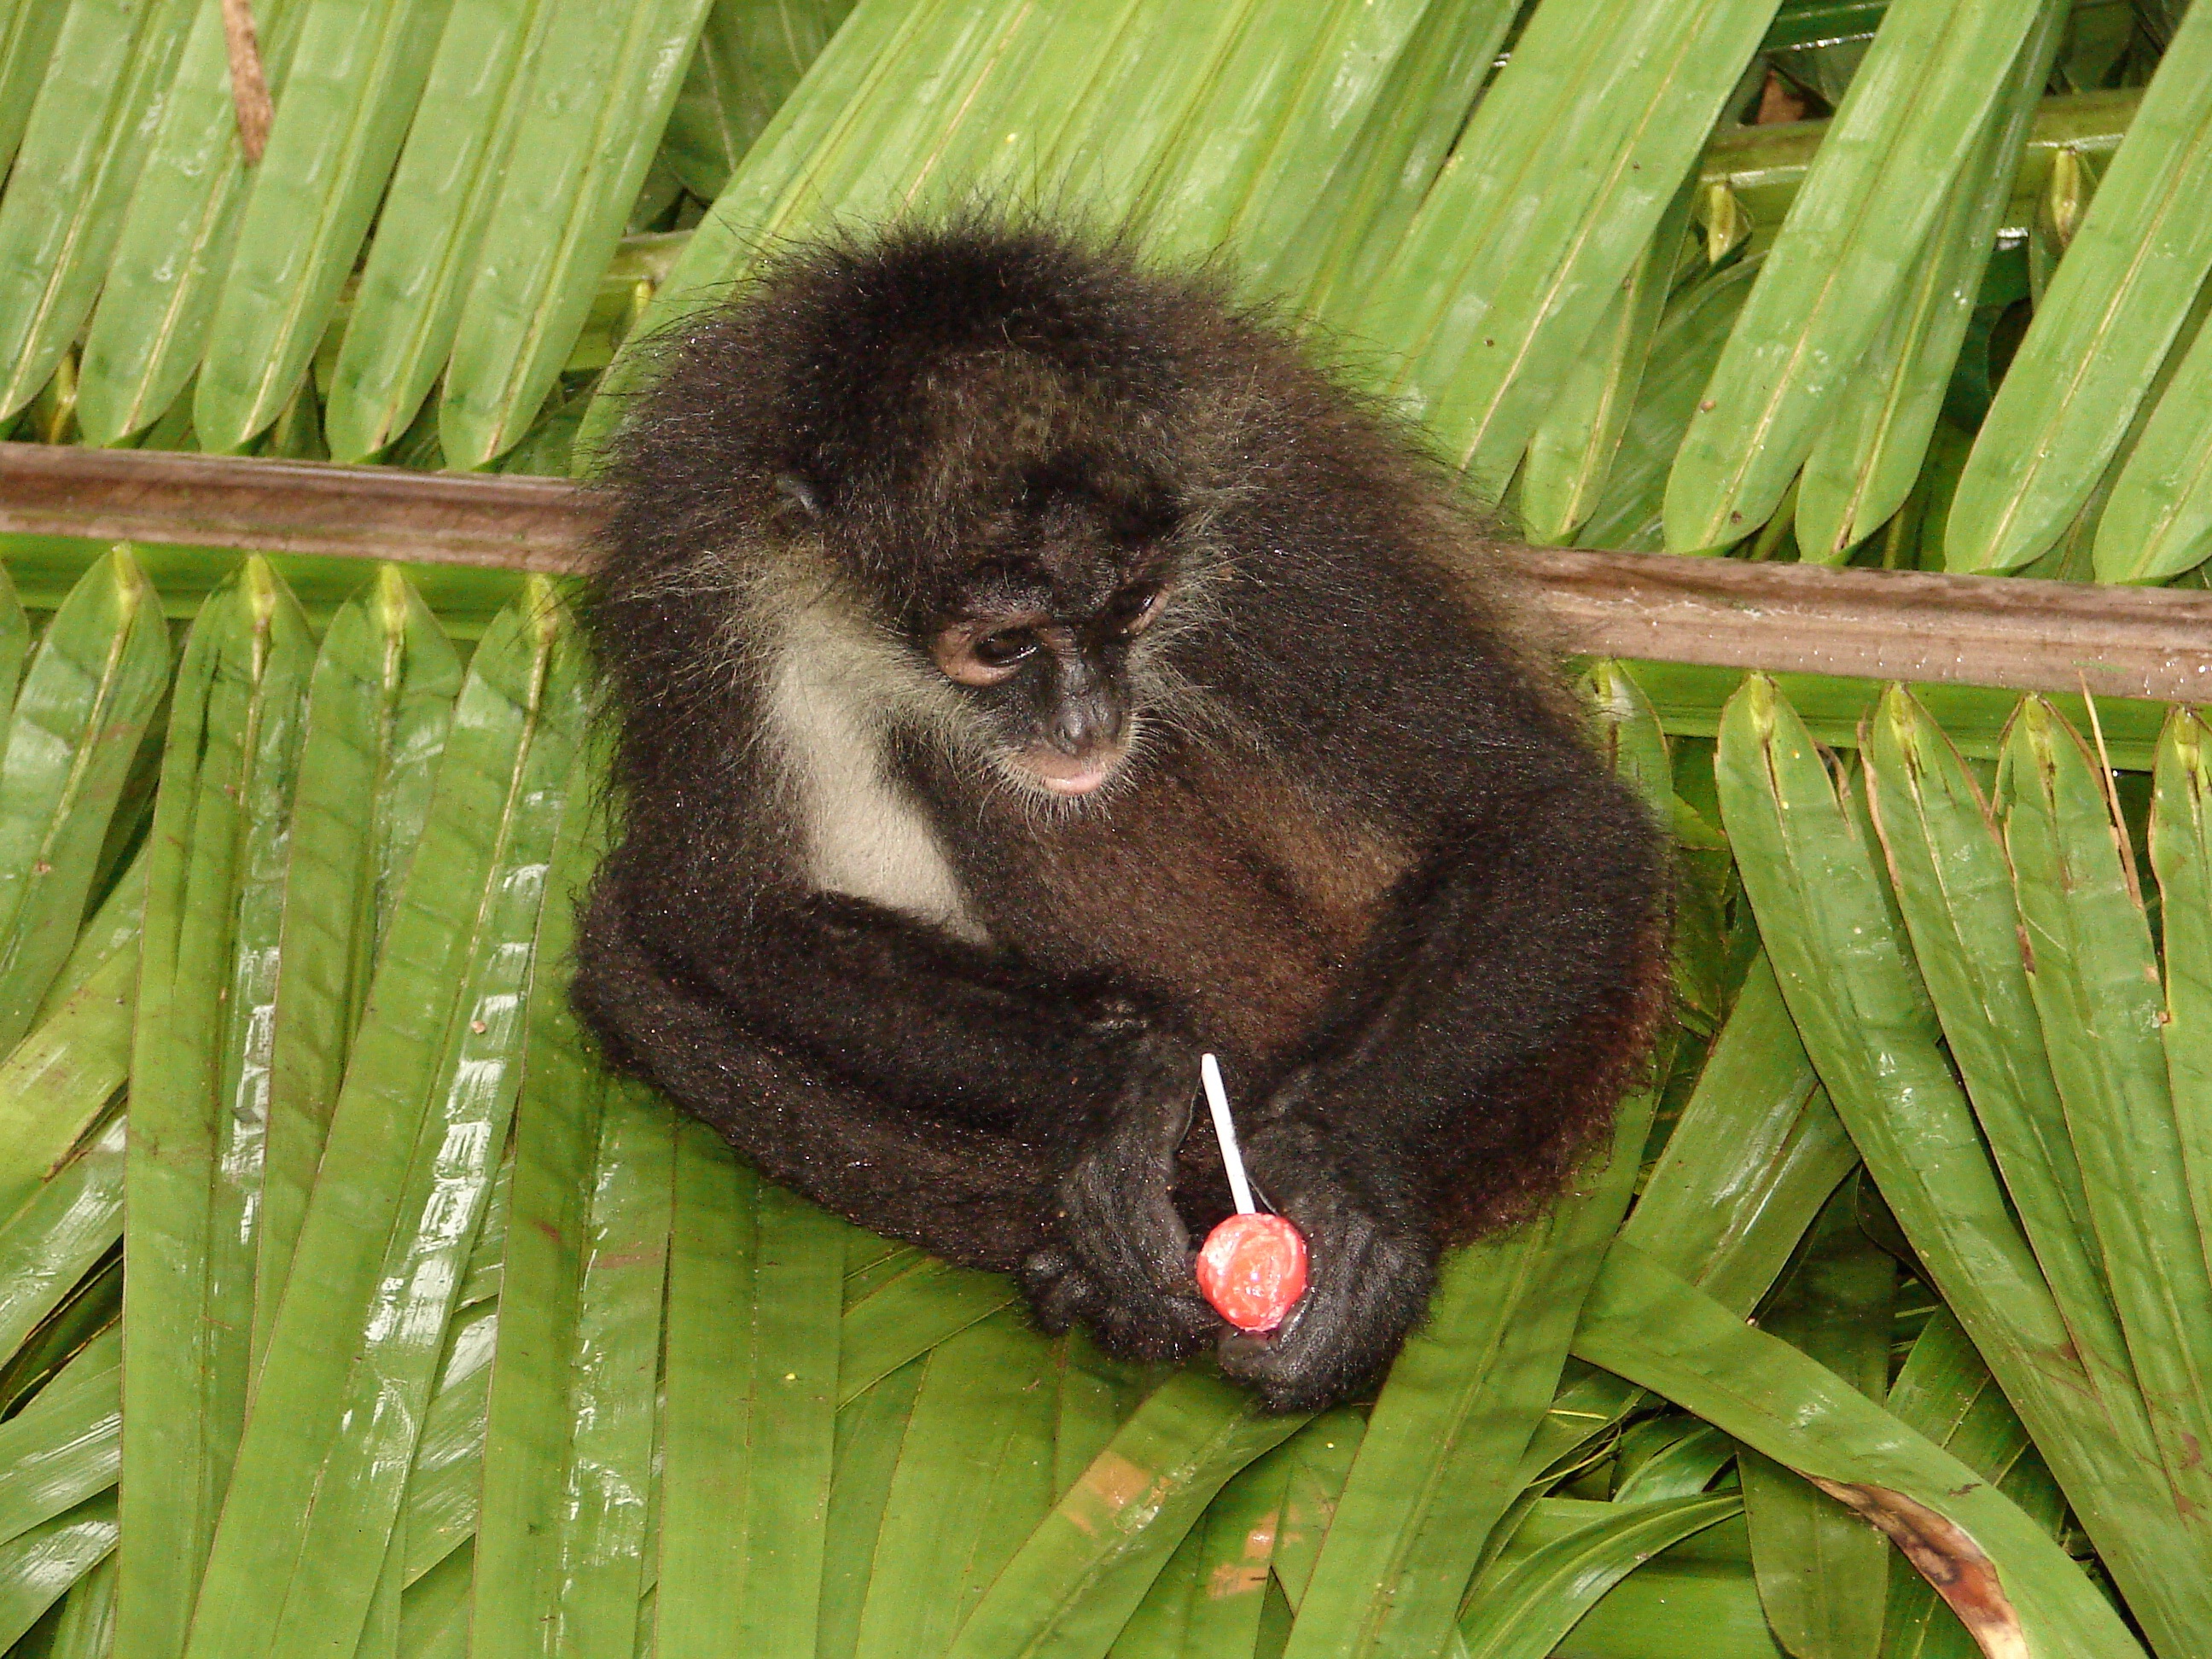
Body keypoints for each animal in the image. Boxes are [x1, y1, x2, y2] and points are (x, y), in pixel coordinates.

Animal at [569, 218, 1670, 1411]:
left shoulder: (1274, 518)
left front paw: (1333, 1164)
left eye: (1133, 608)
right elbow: (725, 914)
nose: (1090, 717)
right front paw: (1111, 1081)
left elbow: (1551, 817)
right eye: (1005, 646)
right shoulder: (695, 540)